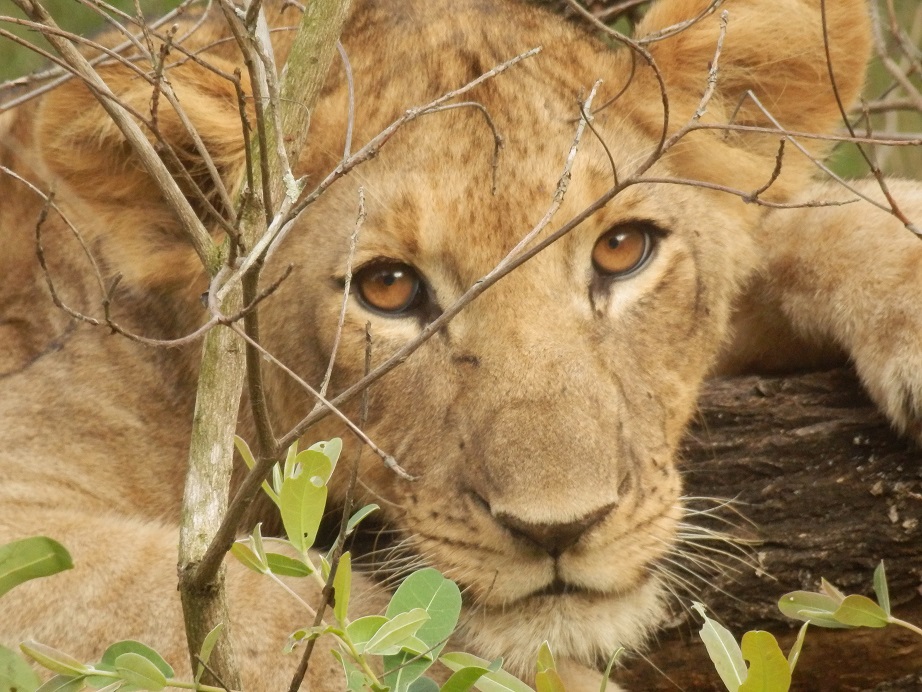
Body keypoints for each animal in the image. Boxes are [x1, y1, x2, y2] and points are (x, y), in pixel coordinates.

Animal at [1, 0, 920, 689]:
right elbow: (301, 617)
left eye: (623, 249)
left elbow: (803, 216)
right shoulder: (30, 512)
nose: (560, 529)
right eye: (389, 287)